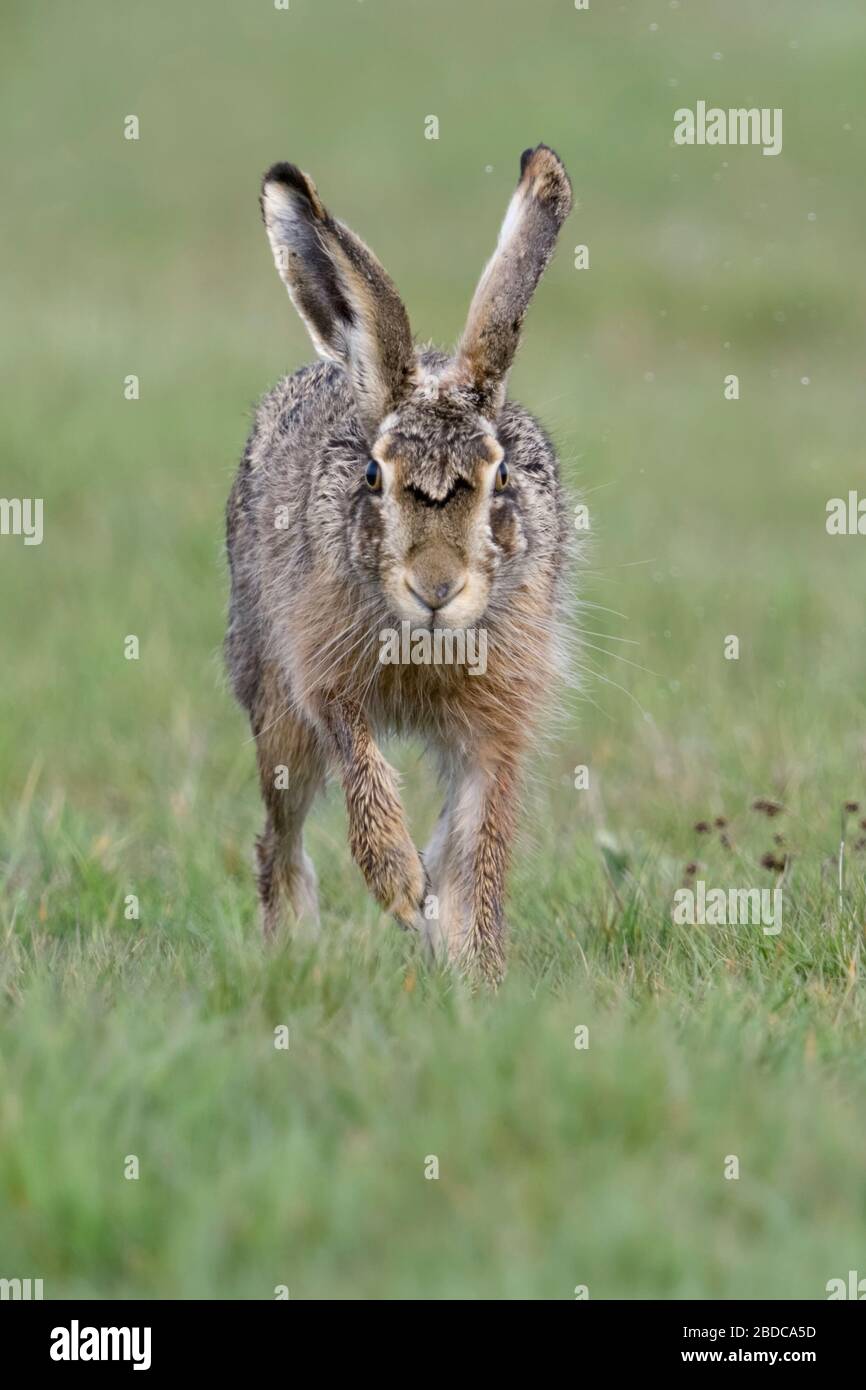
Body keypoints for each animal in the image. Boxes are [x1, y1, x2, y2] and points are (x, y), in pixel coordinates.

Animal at [225, 144, 573, 985]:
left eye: (502, 478)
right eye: (372, 476)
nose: (435, 587)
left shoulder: (502, 721)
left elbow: (480, 848)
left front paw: (476, 970)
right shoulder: (321, 676)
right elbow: (361, 766)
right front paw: (401, 888)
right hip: (273, 707)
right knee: (279, 836)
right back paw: (294, 949)